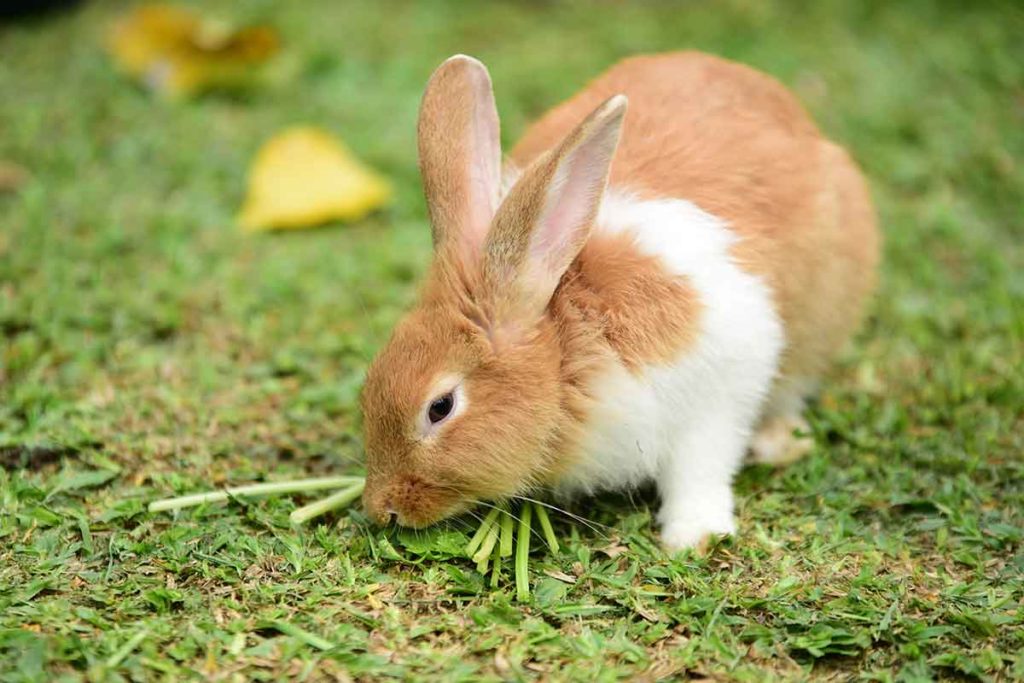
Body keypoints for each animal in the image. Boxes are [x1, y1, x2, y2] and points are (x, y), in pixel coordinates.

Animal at [360, 52, 879, 550]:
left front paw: (693, 537)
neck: (568, 347)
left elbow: (701, 468)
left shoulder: (721, 383)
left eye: (440, 407)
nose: (383, 509)